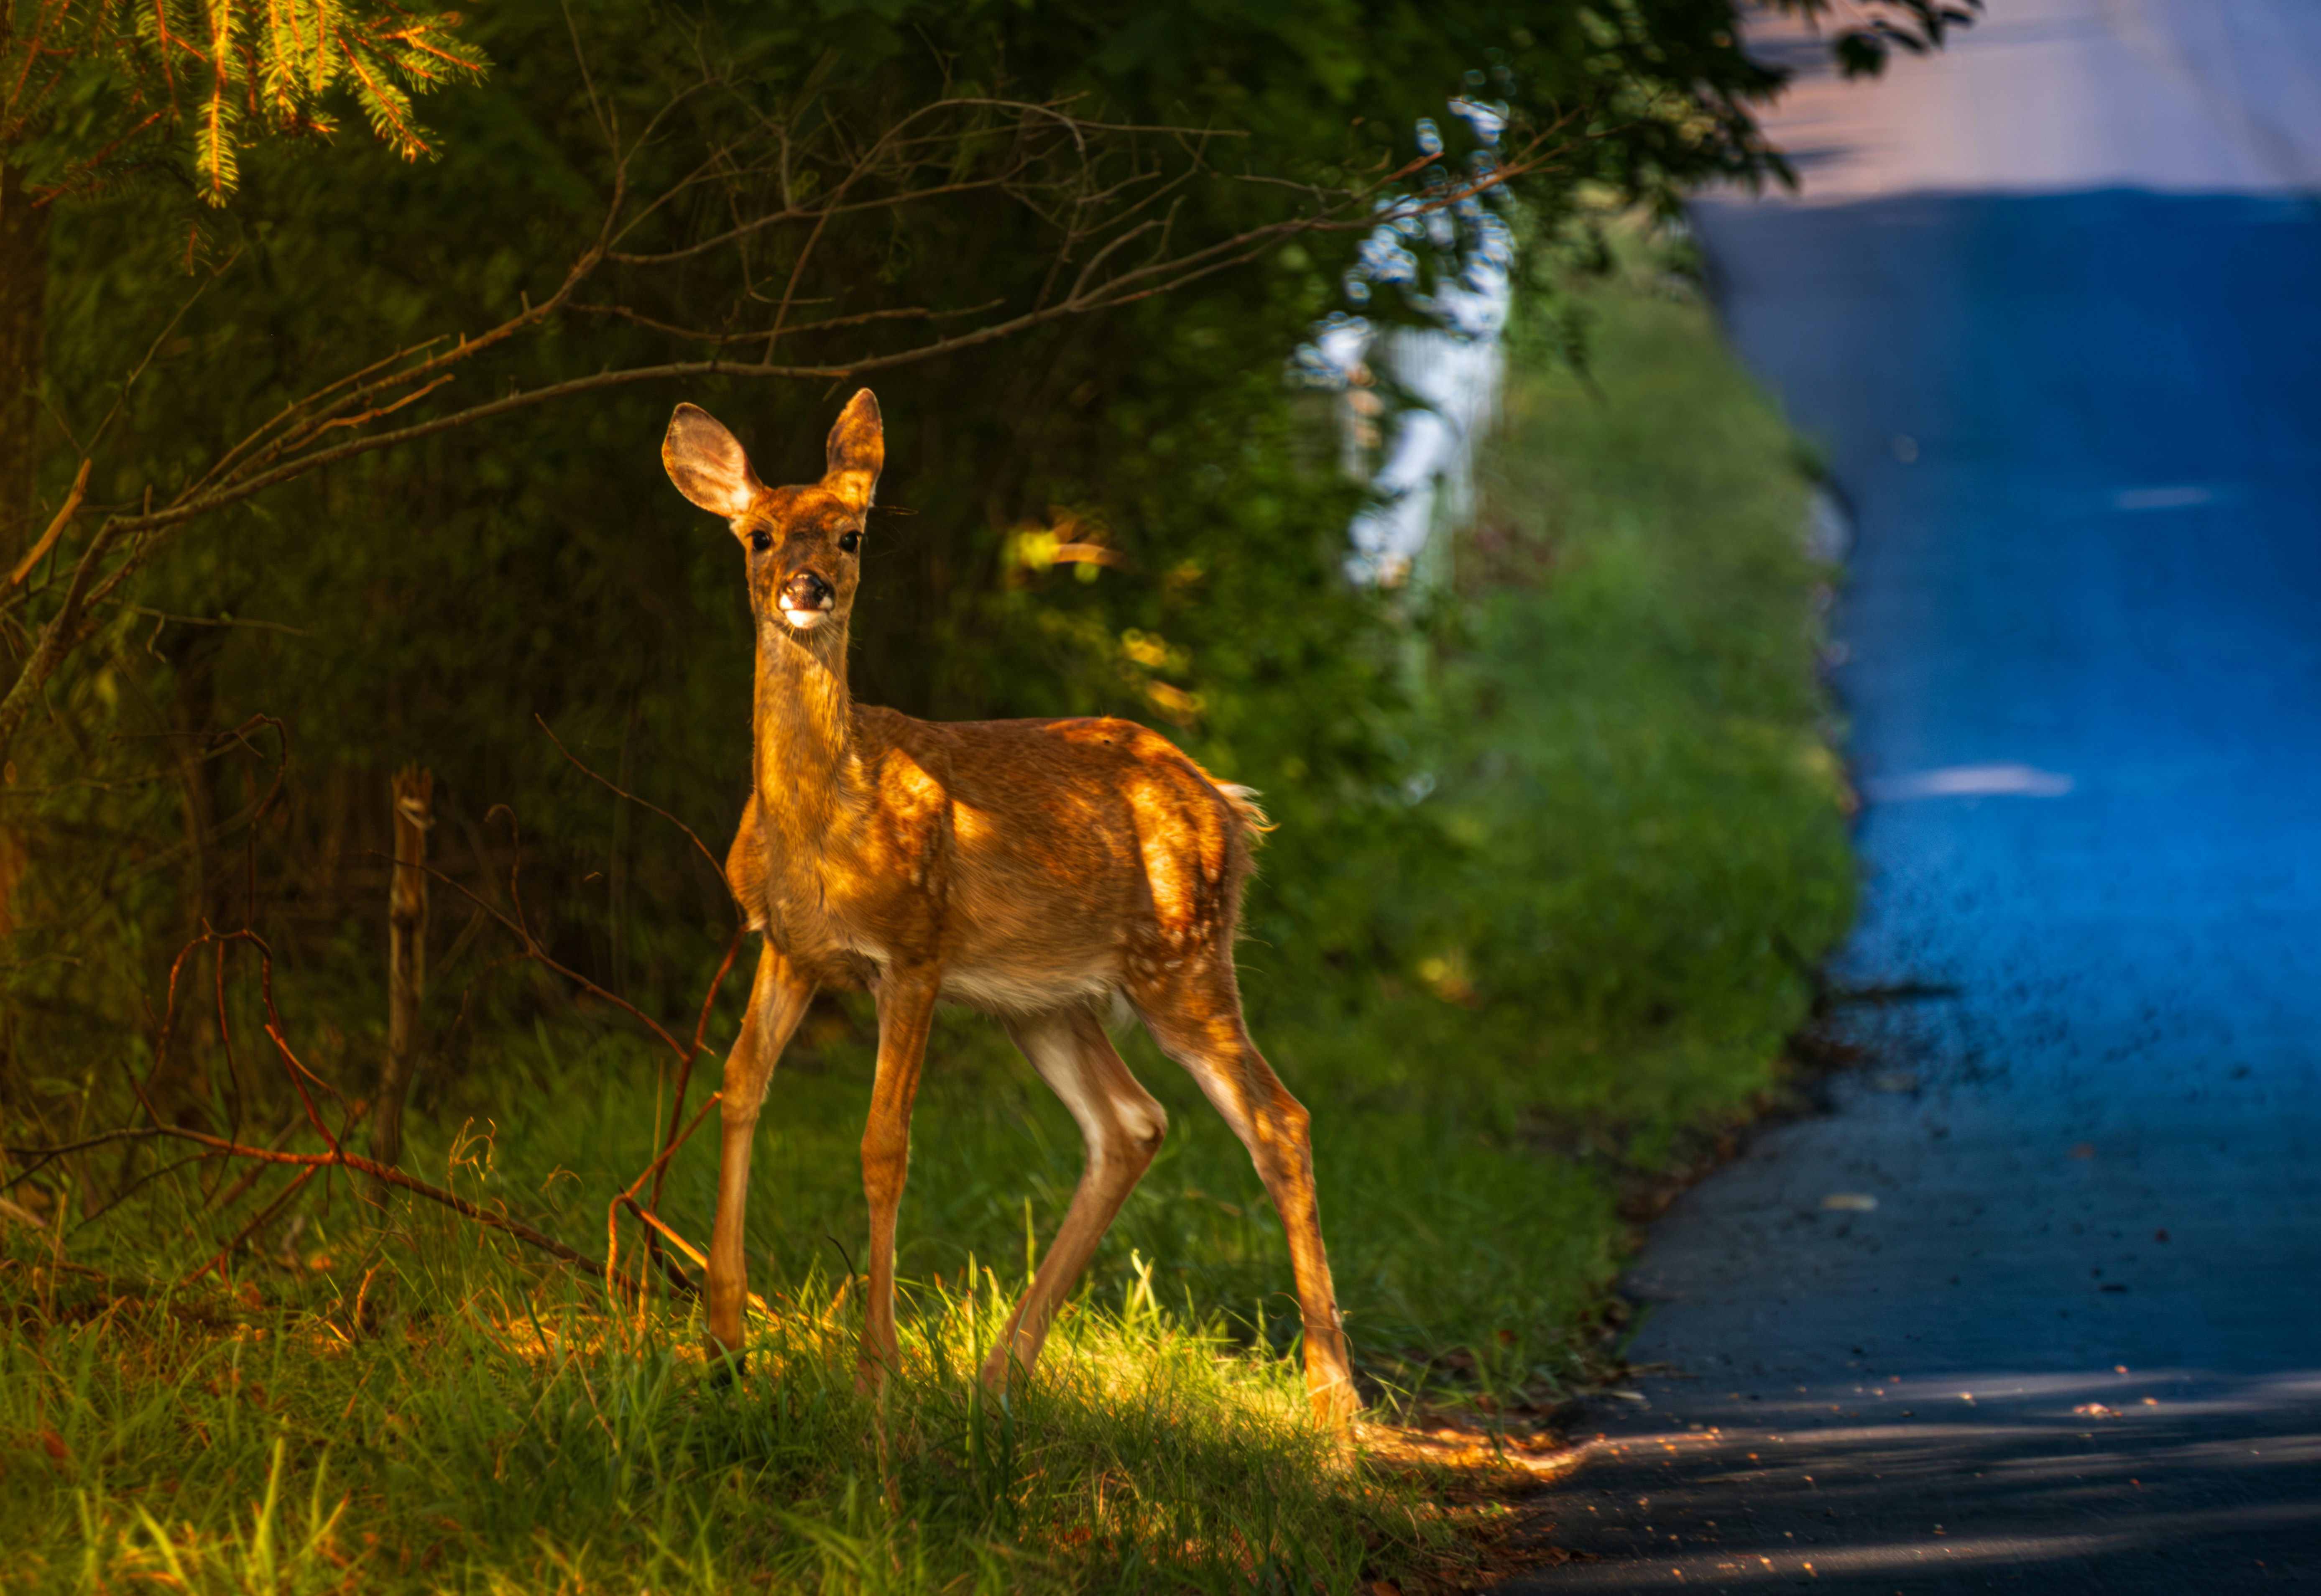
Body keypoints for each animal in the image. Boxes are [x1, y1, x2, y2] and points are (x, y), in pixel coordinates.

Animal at [661, 390, 1359, 1426]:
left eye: (852, 534)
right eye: (758, 535)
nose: (808, 587)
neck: (822, 821)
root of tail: (1230, 808)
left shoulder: (913, 949)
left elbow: (884, 1145)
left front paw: (876, 1382)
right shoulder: (787, 945)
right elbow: (740, 1086)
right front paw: (722, 1344)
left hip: (1181, 956)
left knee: (1279, 1119)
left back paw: (1333, 1406)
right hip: (1046, 999)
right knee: (1132, 1122)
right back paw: (999, 1377)